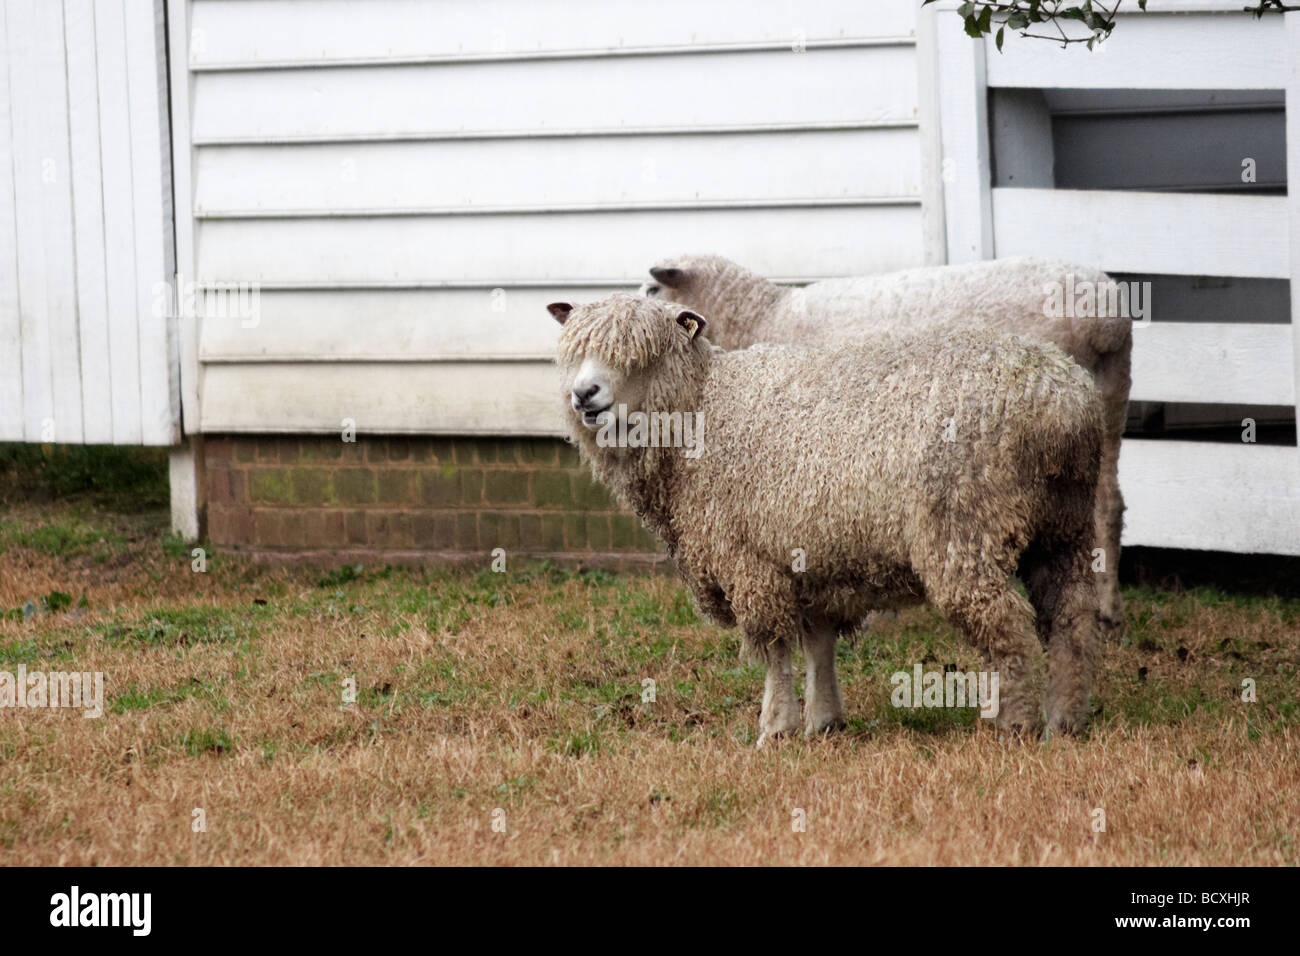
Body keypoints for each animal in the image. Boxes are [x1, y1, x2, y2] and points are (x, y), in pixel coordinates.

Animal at [547, 293, 1103, 744]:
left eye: (641, 356)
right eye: (575, 352)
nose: (584, 395)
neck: (702, 406)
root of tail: (1063, 400)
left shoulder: (749, 558)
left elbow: (775, 649)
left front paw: (776, 728)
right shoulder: (812, 556)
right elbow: (819, 643)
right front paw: (825, 720)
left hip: (966, 527)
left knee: (1008, 624)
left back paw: (1016, 725)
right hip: (1065, 526)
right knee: (1070, 619)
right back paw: (1064, 721)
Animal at [640, 254, 1131, 640]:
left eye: (652, 288)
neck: (764, 317)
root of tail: (1105, 315)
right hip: (1108, 407)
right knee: (1109, 504)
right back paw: (1109, 607)